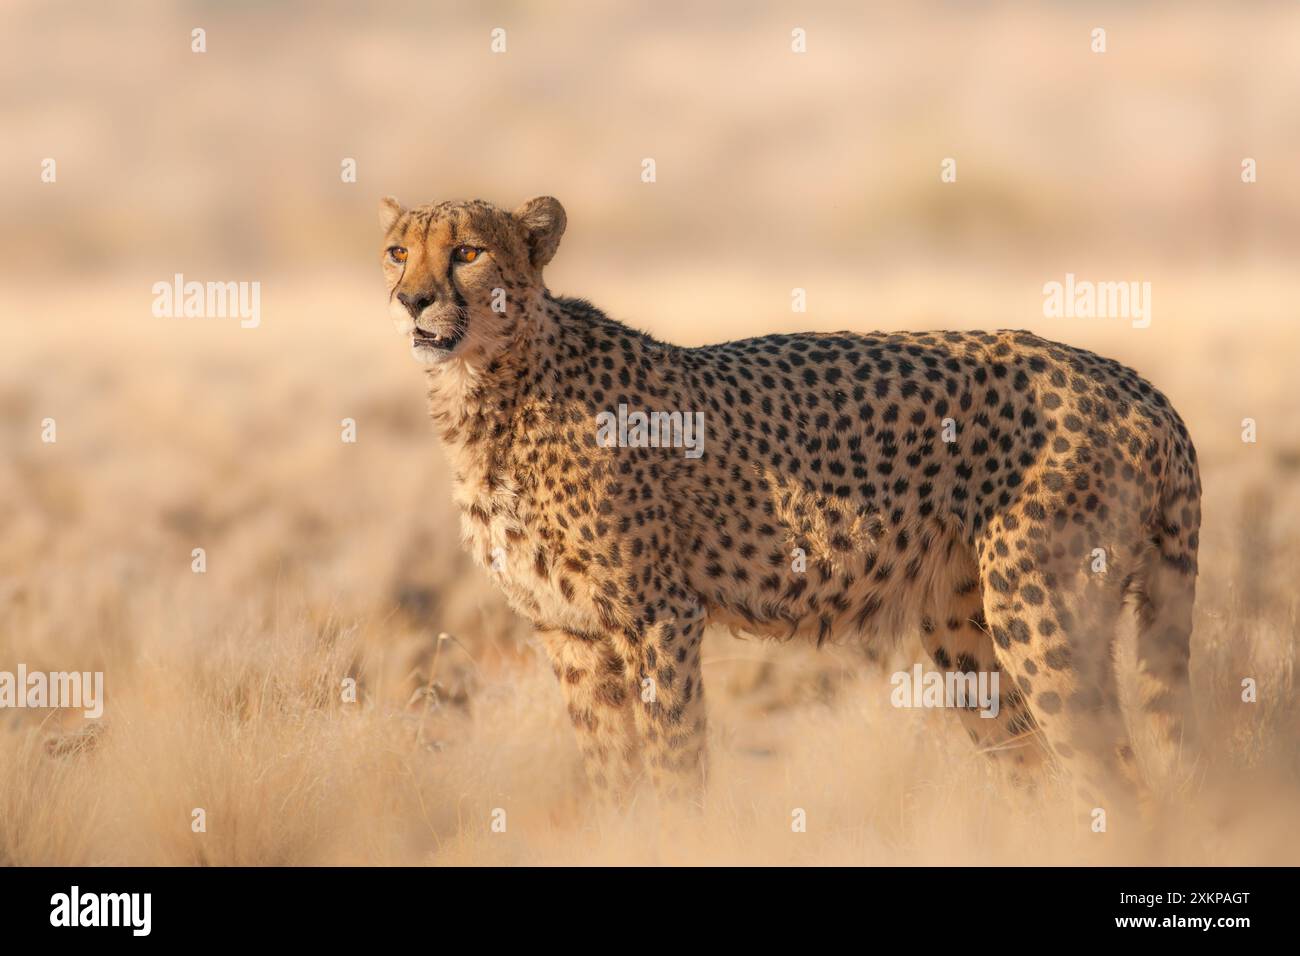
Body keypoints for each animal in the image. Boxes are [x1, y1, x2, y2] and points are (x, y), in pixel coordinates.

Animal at [376, 194, 1202, 826]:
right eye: (396, 252)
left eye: (468, 252)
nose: (412, 299)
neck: (489, 390)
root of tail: (1133, 382)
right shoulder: (568, 630)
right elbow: (612, 771)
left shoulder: (659, 615)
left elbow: (674, 762)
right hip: (963, 626)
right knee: (1041, 772)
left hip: (1041, 608)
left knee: (1120, 782)